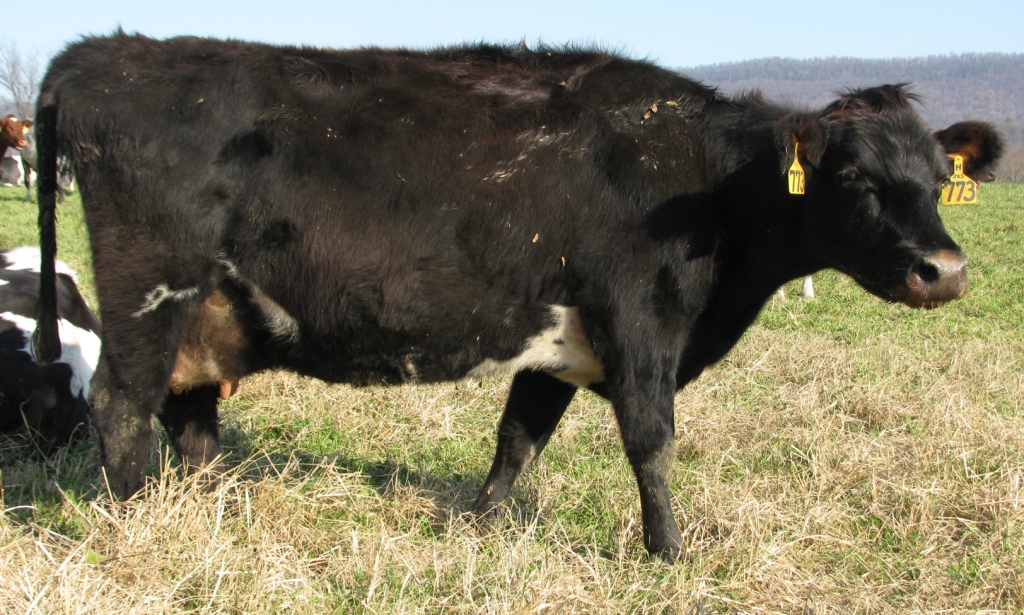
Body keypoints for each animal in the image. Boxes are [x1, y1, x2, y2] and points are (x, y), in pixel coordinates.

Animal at [33, 33, 1003, 561]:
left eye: (935, 177)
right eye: (857, 181)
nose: (944, 270)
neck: (709, 184)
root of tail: (99, 54)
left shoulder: (560, 341)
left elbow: (518, 439)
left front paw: (480, 528)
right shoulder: (642, 322)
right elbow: (652, 441)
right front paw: (669, 551)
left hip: (207, 311)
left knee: (188, 417)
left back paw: (208, 514)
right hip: (150, 289)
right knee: (119, 403)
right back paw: (134, 526)